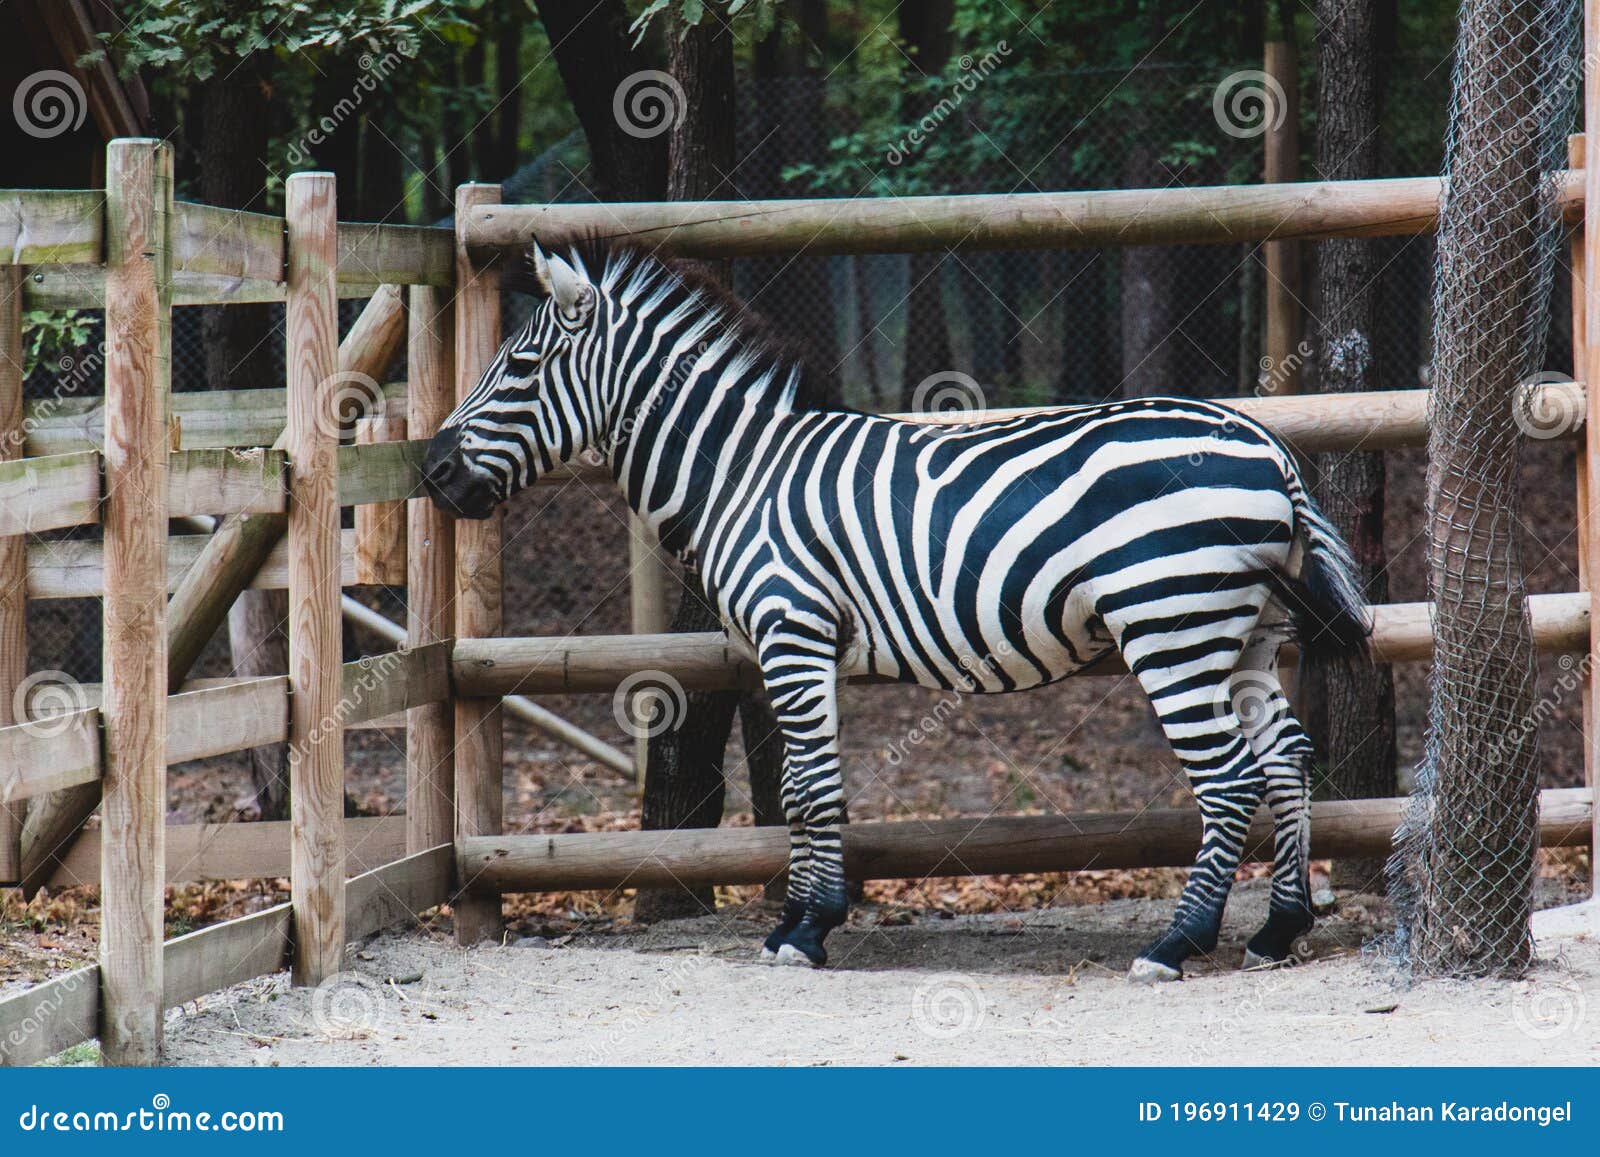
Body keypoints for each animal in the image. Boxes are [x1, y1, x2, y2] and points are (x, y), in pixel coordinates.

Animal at [423, 241, 1370, 982]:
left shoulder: (793, 631)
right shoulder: (796, 648)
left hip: (1171, 623)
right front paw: (798, 918)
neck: (737, 472)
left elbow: (812, 785)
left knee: (1230, 776)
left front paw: (809, 928)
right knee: (1285, 756)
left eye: (518, 368)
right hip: (1244, 636)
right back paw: (1279, 928)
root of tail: (1266, 441)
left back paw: (1178, 942)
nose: (430, 471)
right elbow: (800, 786)